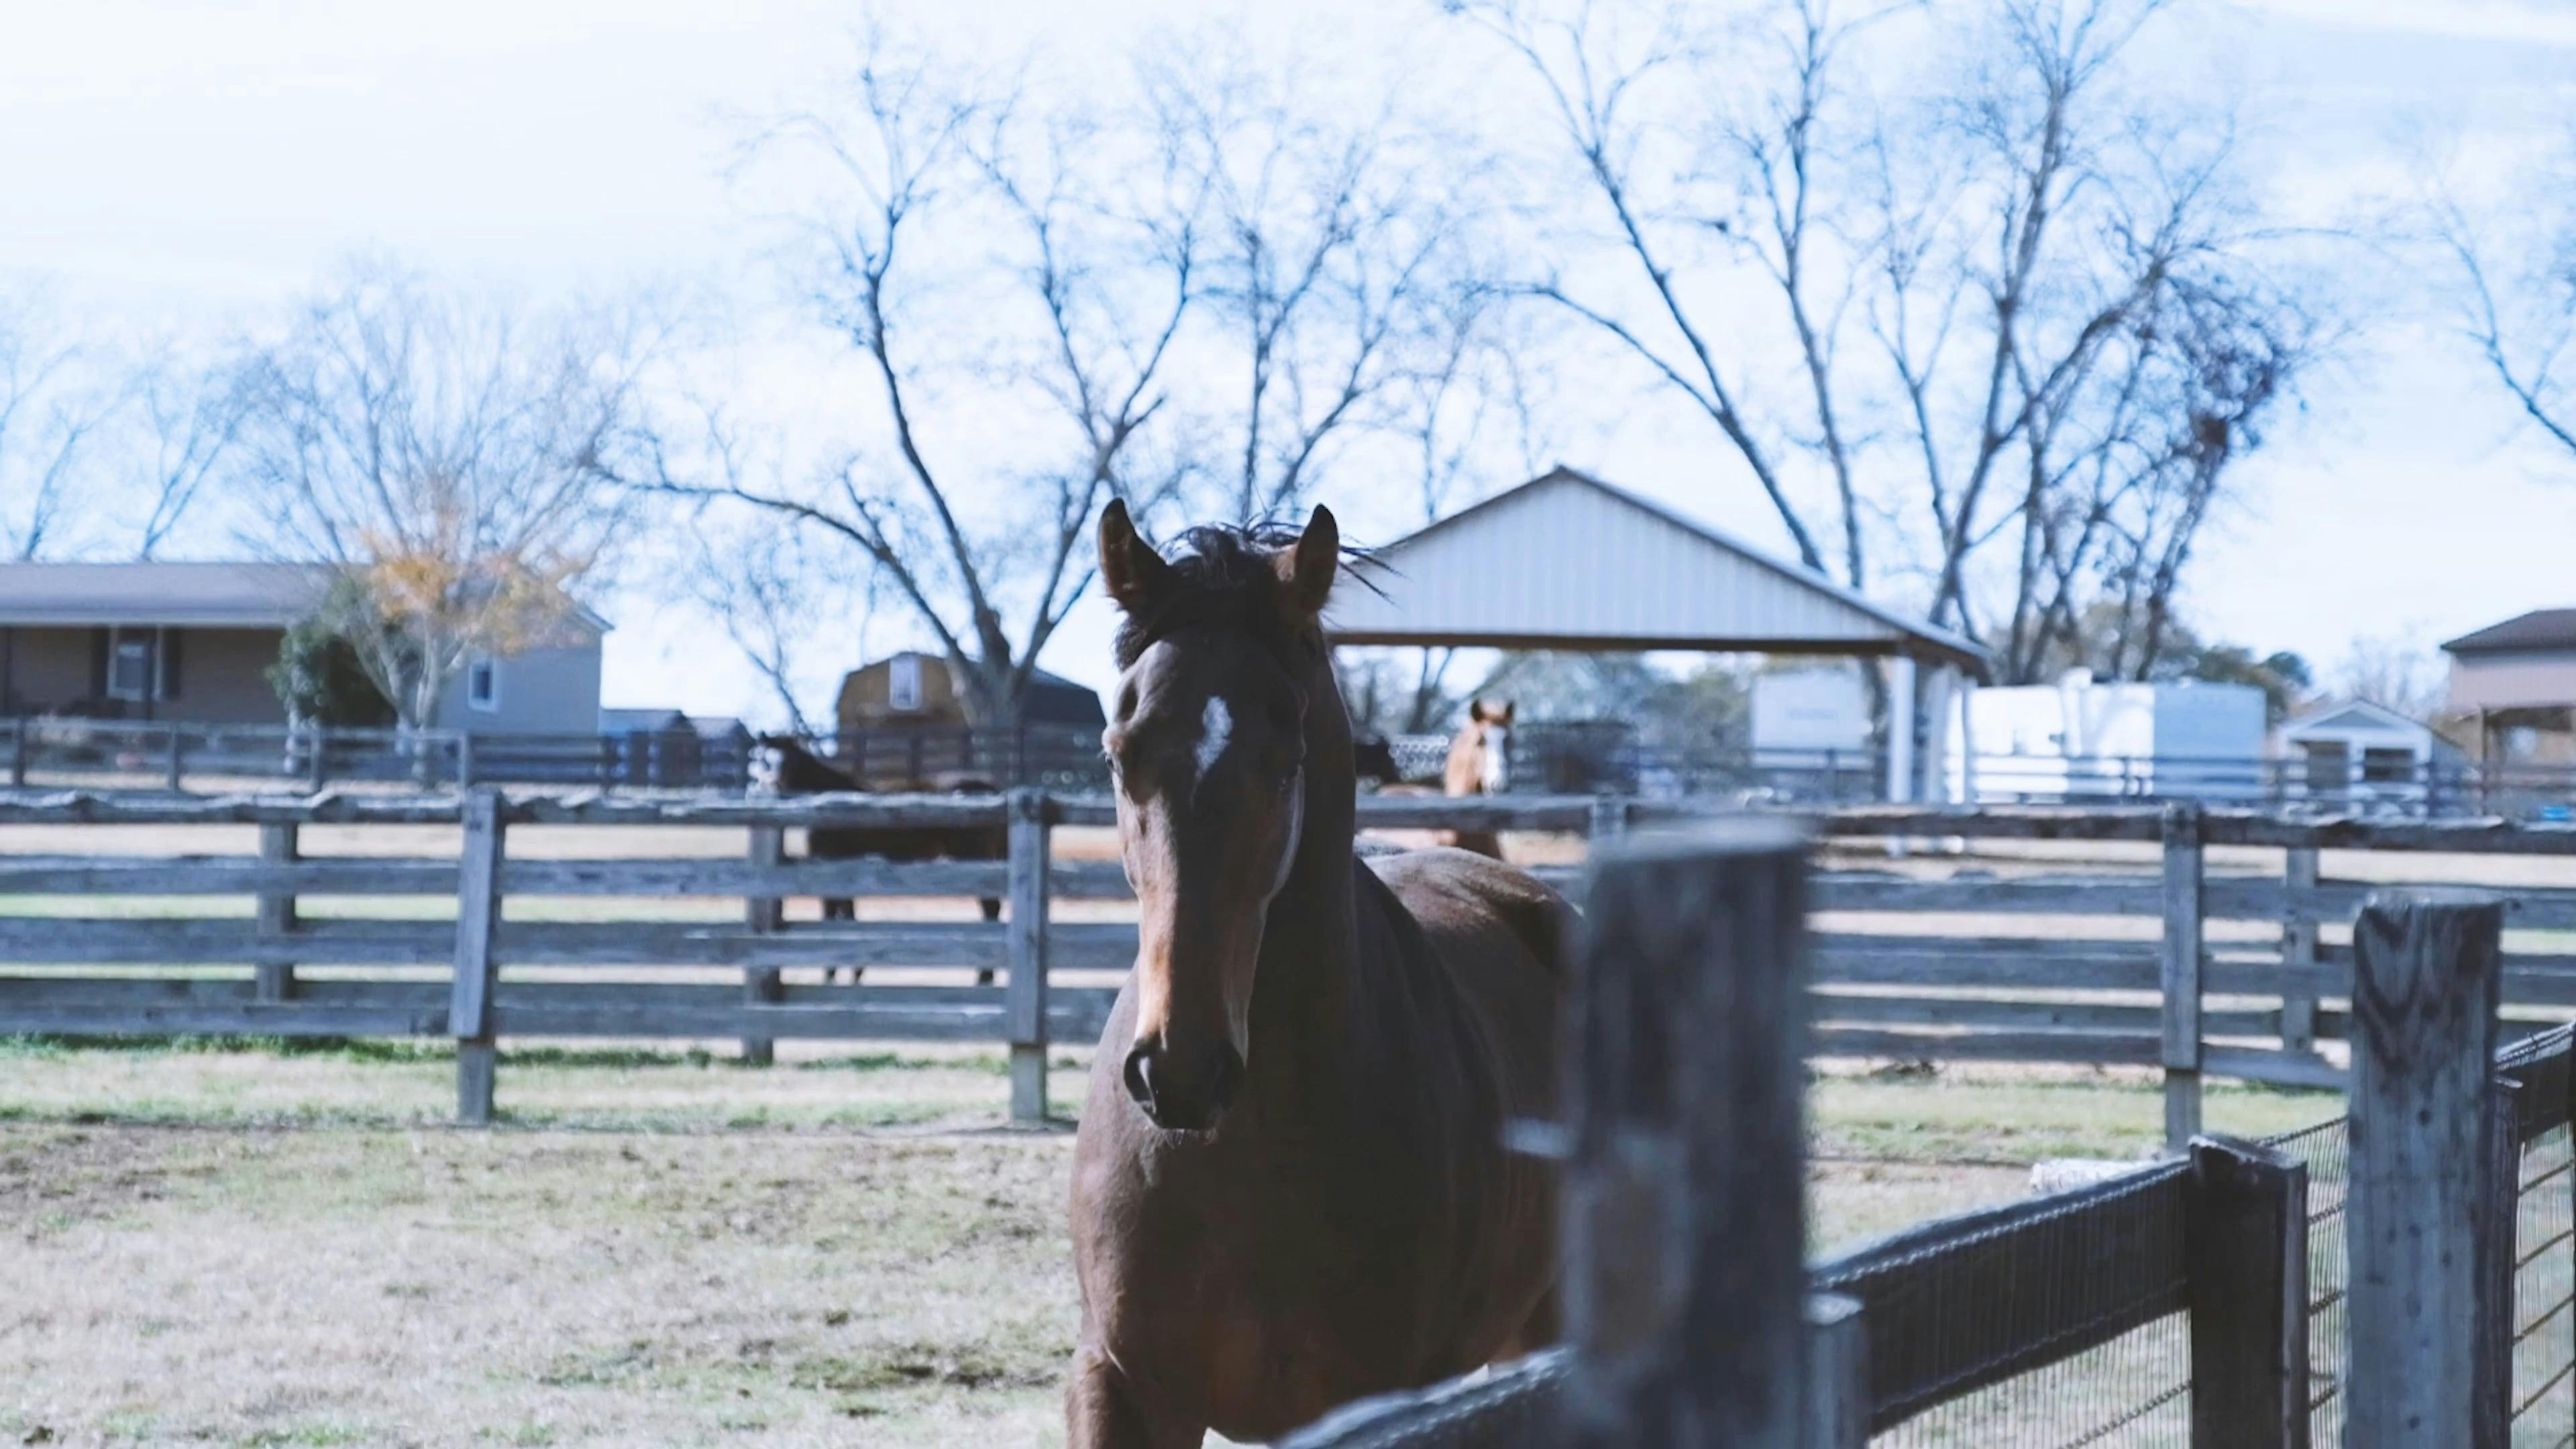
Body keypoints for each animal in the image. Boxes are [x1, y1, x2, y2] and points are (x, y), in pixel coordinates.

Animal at [750, 735, 1005, 985]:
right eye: (762, 759)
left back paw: (984, 977)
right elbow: (847, 915)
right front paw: (854, 973)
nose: (771, 786)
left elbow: (833, 914)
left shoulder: (830, 863)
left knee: (991, 909)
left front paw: (833, 975)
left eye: (789, 760)